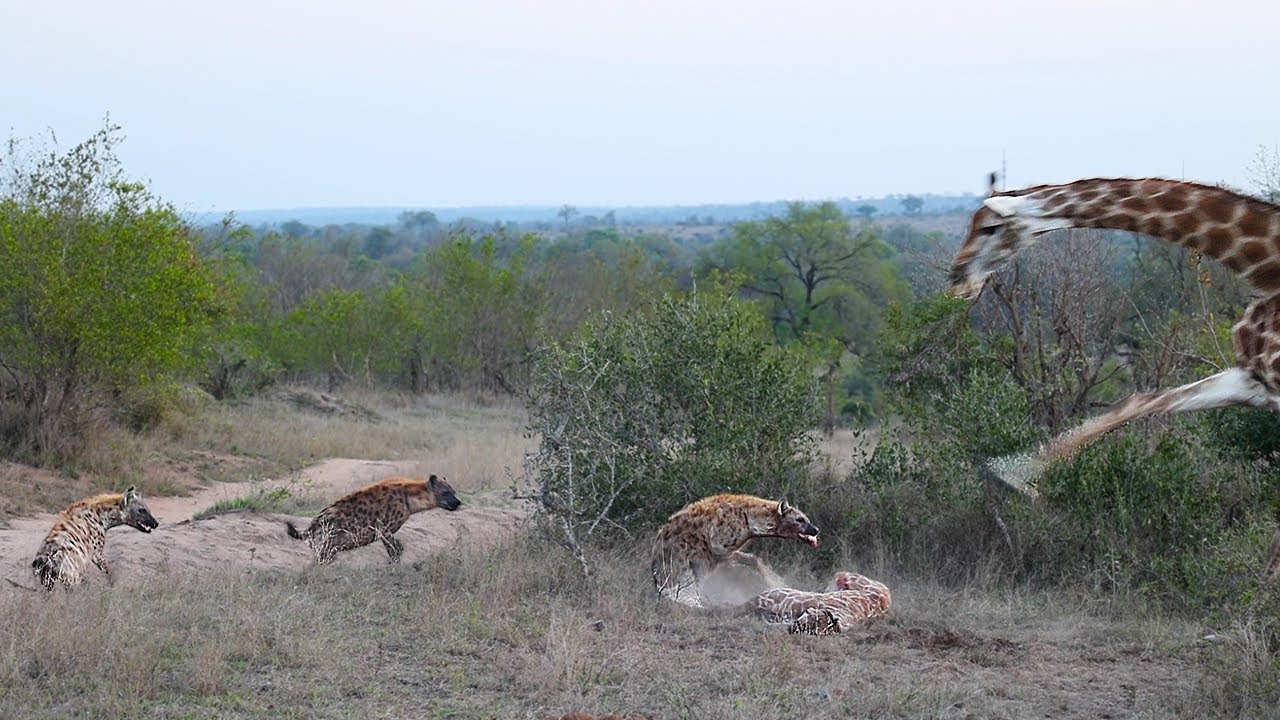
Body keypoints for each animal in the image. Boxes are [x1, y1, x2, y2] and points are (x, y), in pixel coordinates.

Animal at [948, 175, 1280, 577]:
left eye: (990, 228)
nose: (957, 276)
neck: (1267, 268)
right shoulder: (1253, 381)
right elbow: (1139, 402)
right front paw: (1011, 474)